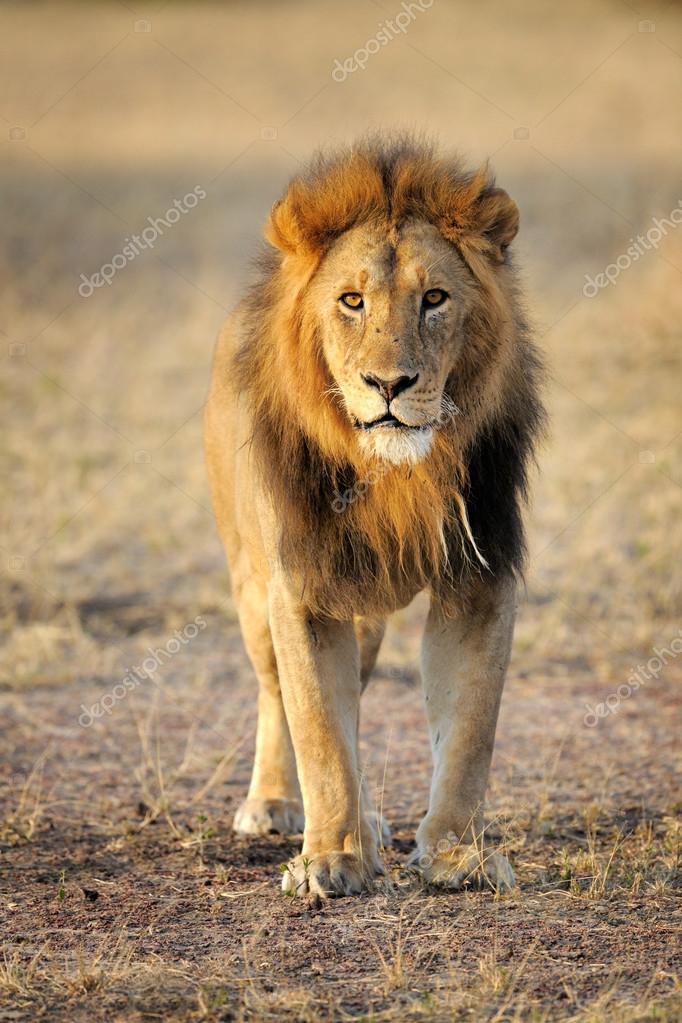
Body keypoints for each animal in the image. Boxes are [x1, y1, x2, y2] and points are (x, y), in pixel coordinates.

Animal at [204, 136, 544, 898]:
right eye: (351, 301)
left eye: (435, 298)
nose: (390, 385)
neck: (398, 476)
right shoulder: (300, 586)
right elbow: (319, 731)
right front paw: (331, 858)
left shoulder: (479, 577)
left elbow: (470, 729)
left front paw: (456, 854)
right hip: (251, 584)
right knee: (276, 693)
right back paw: (278, 802)